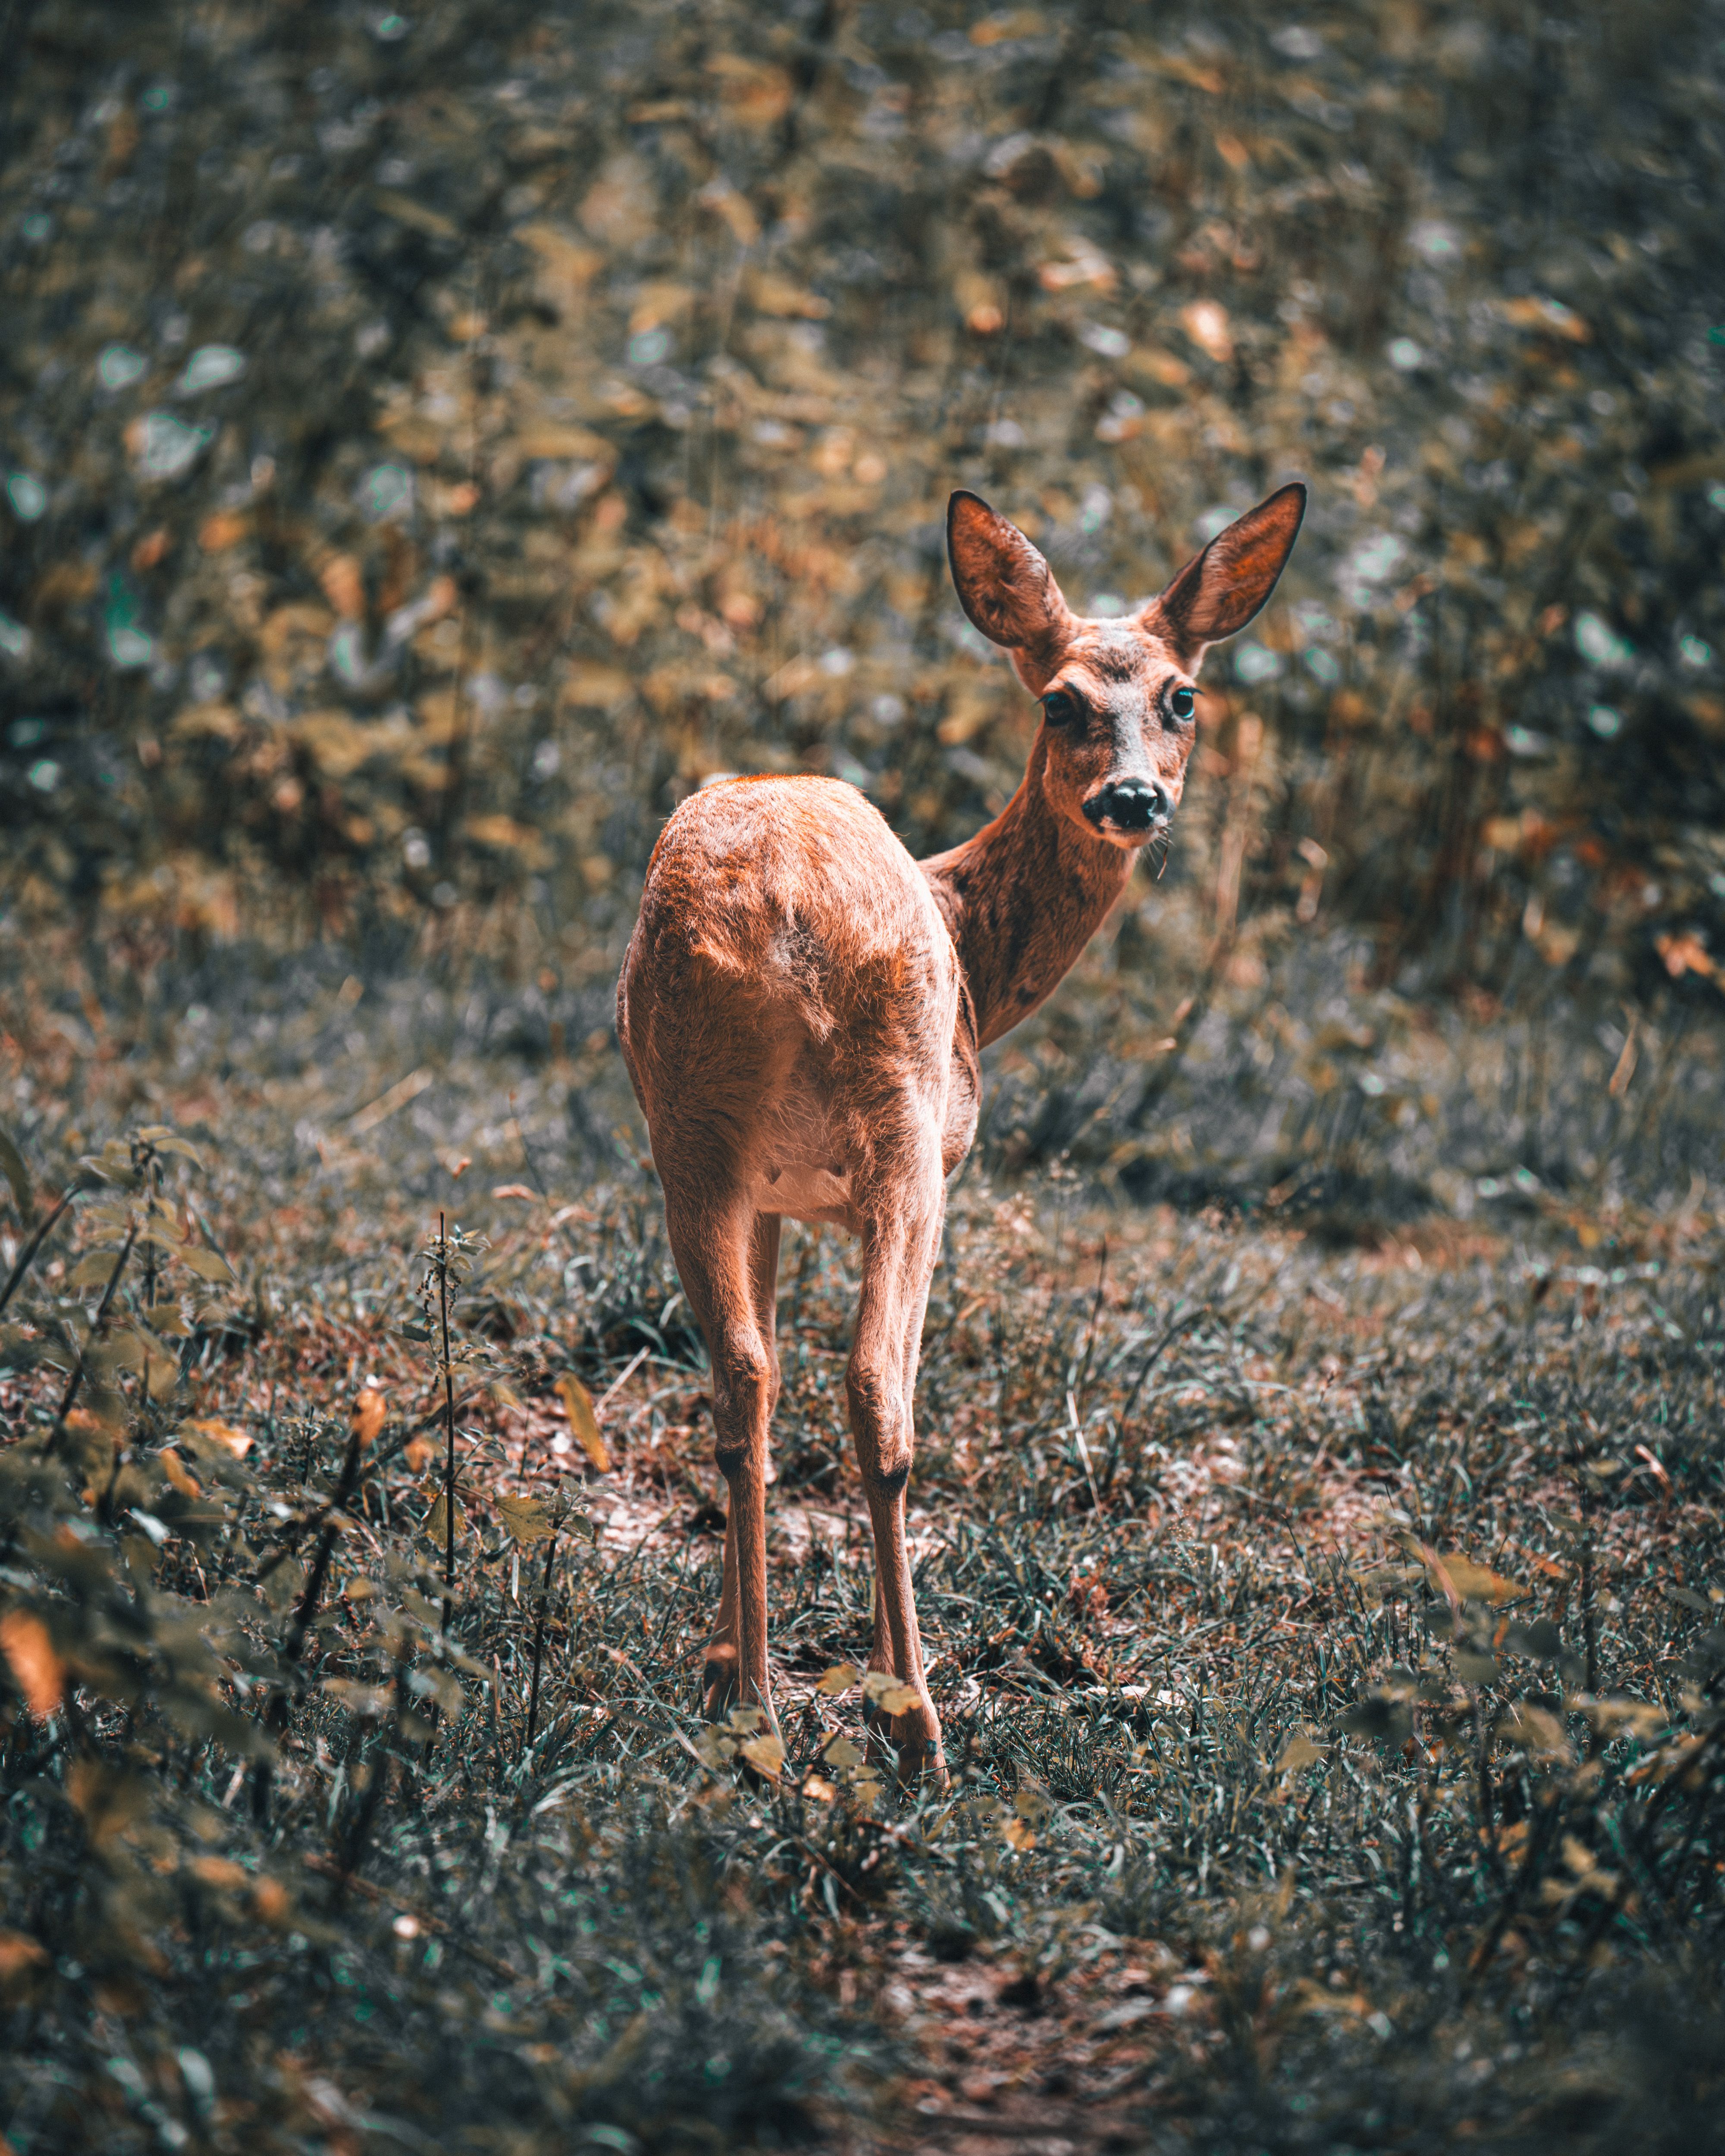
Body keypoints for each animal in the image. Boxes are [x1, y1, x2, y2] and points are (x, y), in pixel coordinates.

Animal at [617, 480, 1305, 1786]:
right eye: (1060, 700)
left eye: (1181, 696)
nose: (1132, 799)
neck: (976, 942)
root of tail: (784, 907)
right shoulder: (921, 1153)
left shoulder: (767, 1193)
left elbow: (751, 1371)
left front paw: (721, 1660)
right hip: (901, 1129)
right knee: (876, 1389)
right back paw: (916, 1719)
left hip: (689, 1131)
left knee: (741, 1385)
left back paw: (756, 1710)